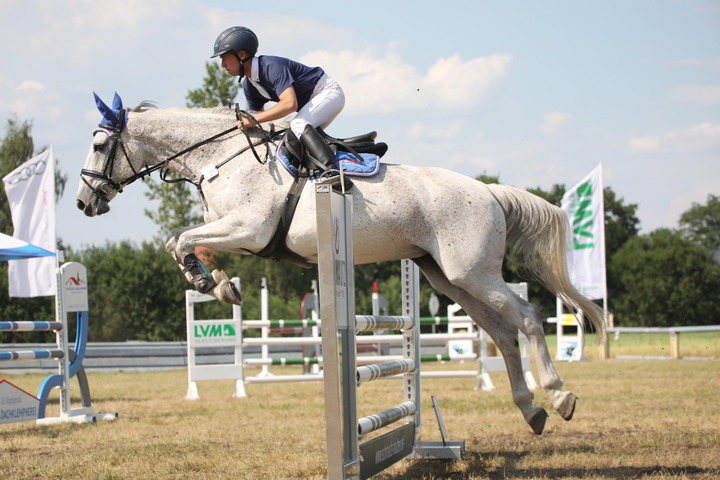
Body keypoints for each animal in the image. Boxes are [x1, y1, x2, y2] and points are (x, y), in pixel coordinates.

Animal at [77, 93, 606, 436]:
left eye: (100, 146)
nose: (85, 202)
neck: (221, 157)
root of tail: (490, 192)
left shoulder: (247, 229)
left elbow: (181, 237)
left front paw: (216, 284)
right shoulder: (238, 236)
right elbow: (177, 240)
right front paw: (214, 283)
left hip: (473, 273)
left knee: (529, 319)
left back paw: (559, 396)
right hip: (450, 279)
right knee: (502, 333)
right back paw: (530, 410)